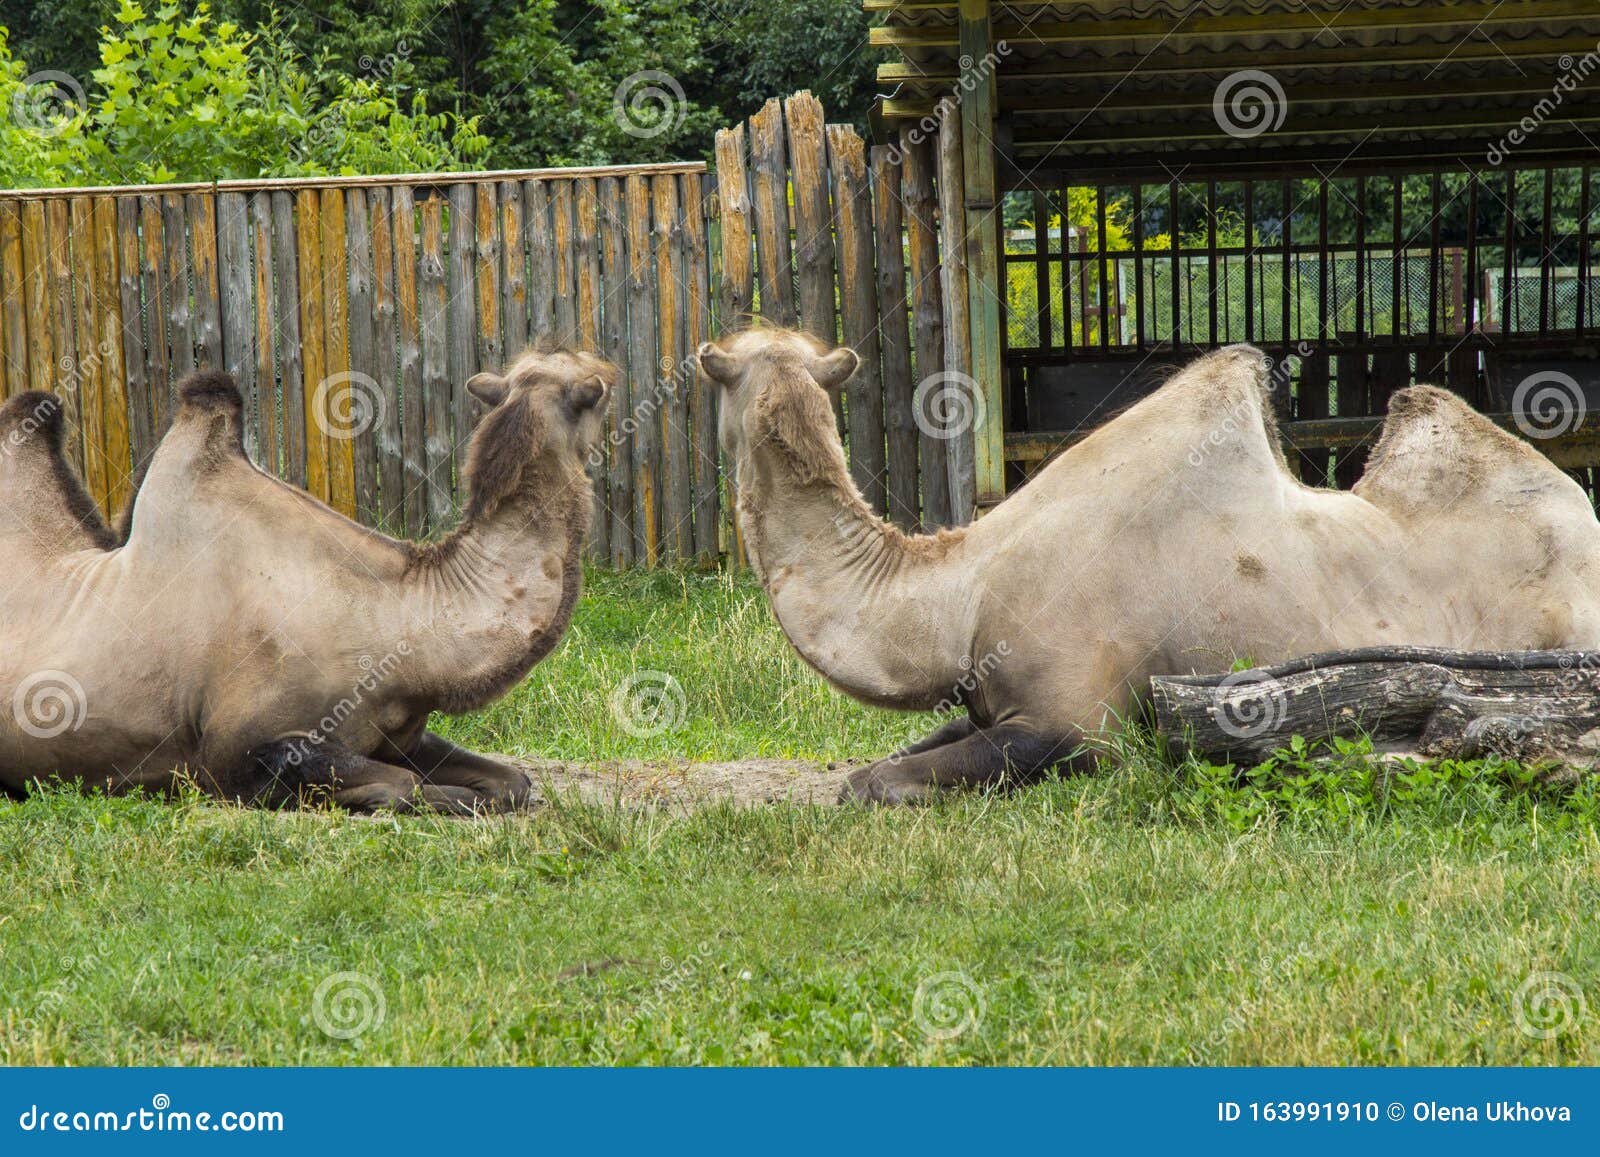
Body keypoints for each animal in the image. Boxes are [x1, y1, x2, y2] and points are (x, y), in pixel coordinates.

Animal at [0, 346, 615, 813]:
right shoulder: (234, 750)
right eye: (593, 388)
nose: (611, 369)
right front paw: (419, 798)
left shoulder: (402, 730)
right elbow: (403, 786)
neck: (401, 628)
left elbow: (512, 781)